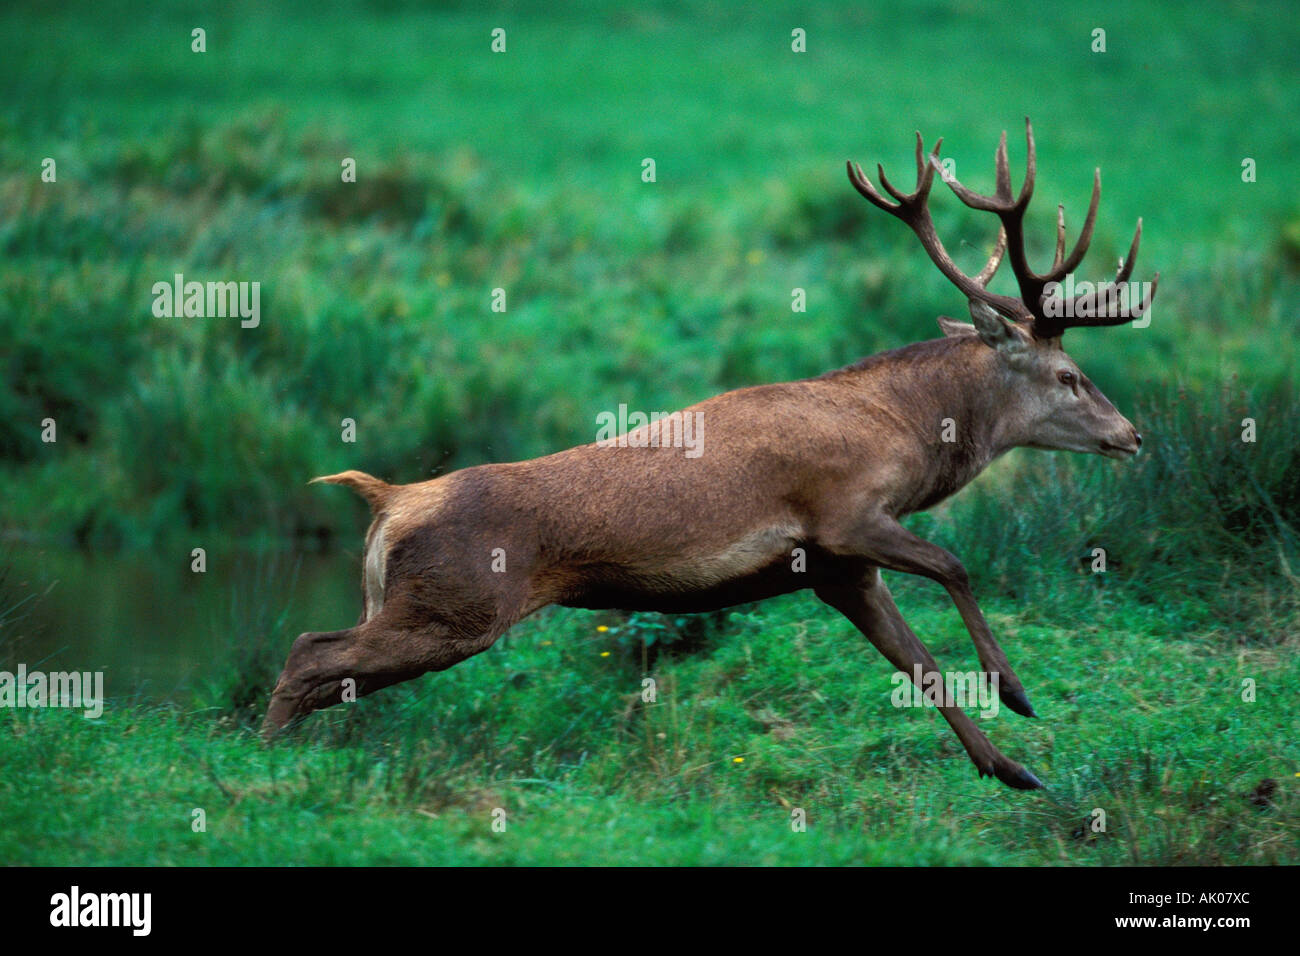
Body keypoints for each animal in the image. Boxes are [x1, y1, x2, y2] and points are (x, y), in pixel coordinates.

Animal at [263, 119, 1156, 790]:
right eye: (1071, 376)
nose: (1132, 435)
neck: (901, 433)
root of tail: (387, 500)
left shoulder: (836, 570)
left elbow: (917, 663)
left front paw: (1014, 771)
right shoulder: (845, 514)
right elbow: (956, 567)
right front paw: (1018, 691)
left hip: (415, 604)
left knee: (325, 667)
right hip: (458, 606)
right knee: (311, 651)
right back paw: (256, 760)